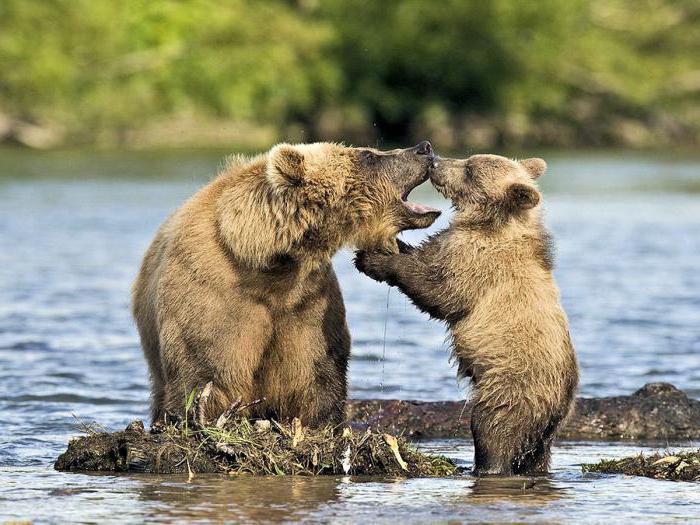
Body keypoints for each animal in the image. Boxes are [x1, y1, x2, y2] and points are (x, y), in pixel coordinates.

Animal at [131, 140, 438, 426]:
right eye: (368, 155)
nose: (424, 148)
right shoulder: (213, 292)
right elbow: (205, 370)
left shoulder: (308, 302)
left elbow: (316, 374)